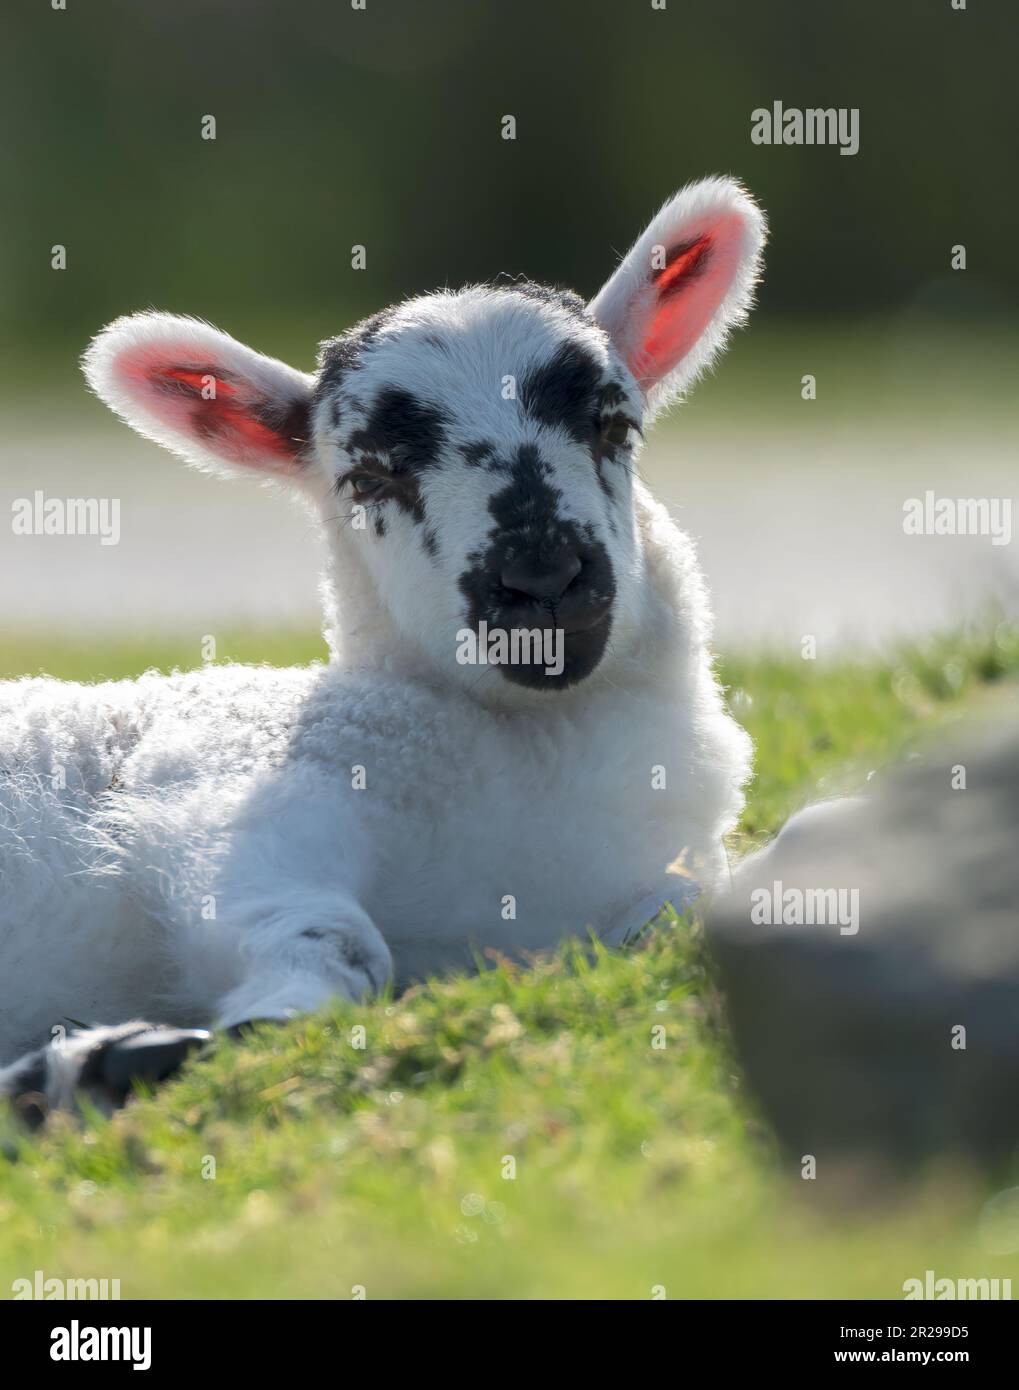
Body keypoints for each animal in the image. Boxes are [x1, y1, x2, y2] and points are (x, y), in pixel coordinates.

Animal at [0, 176, 765, 1118]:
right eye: (367, 477)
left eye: (614, 427)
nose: (541, 577)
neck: (537, 765)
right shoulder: (227, 797)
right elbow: (333, 943)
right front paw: (125, 1059)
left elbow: (688, 907)